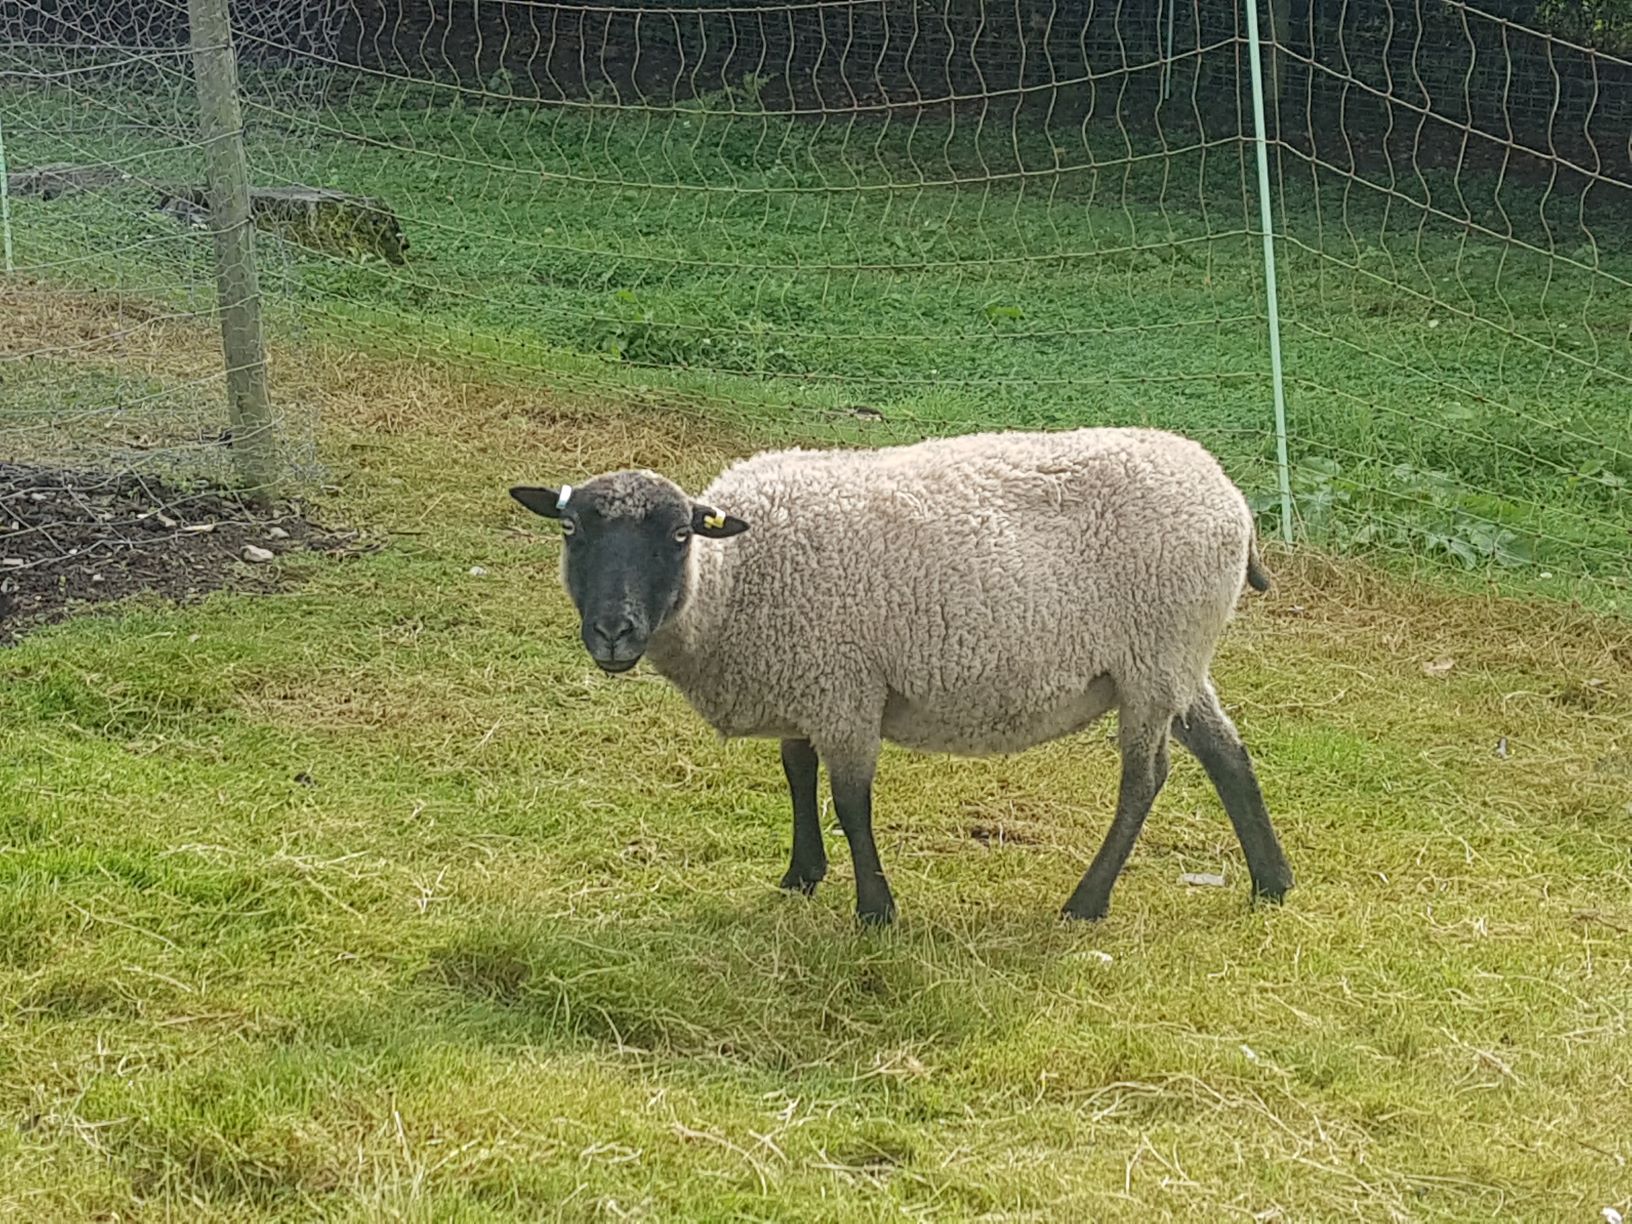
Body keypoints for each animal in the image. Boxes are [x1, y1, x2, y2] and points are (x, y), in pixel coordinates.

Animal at [510, 425, 1293, 925]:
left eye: (678, 536)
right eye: (572, 532)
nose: (614, 633)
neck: (736, 578)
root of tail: (1229, 495)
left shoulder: (846, 690)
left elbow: (851, 803)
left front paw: (875, 909)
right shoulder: (808, 683)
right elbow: (797, 773)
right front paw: (800, 877)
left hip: (1155, 658)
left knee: (1146, 777)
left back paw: (1086, 904)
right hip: (1176, 659)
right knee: (1227, 753)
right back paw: (1272, 884)